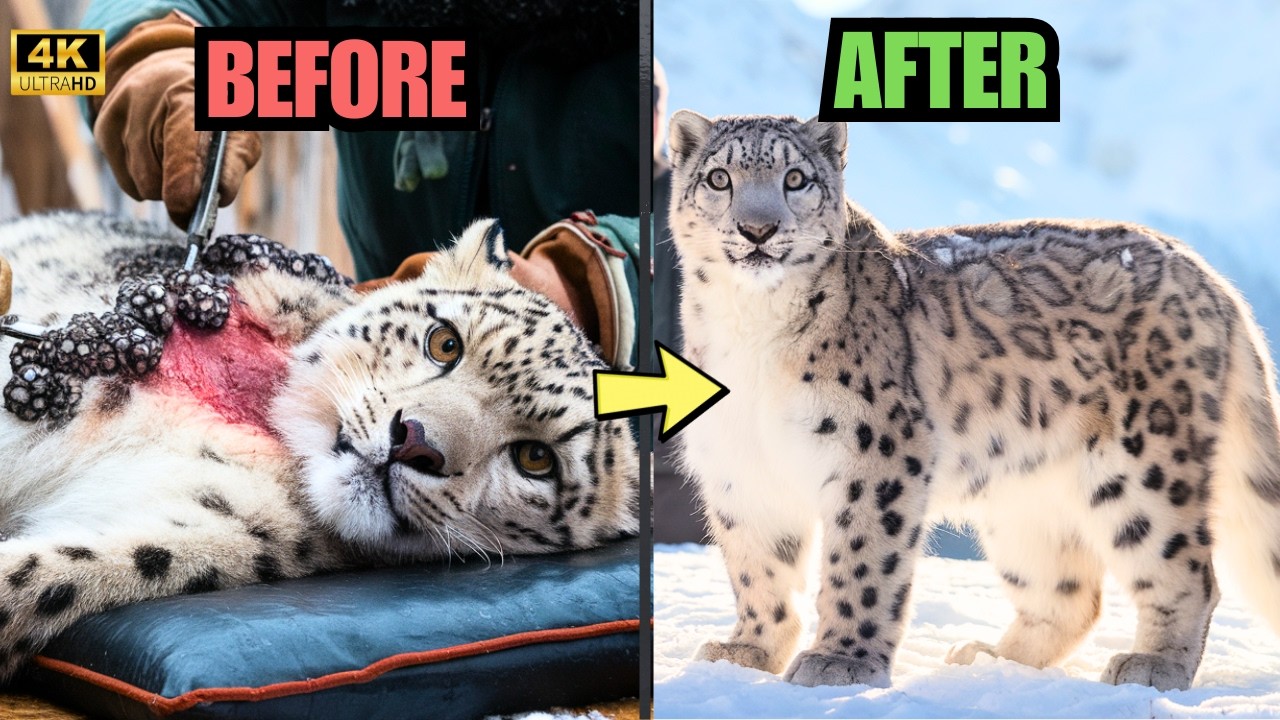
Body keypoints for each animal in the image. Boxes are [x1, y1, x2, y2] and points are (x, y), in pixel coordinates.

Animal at [666, 110, 1280, 692]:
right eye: (720, 178)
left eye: (795, 178)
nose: (758, 228)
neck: (750, 328)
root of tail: (1207, 274)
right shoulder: (740, 468)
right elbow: (758, 567)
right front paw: (747, 651)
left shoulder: (874, 449)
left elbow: (861, 559)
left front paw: (842, 660)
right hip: (1024, 499)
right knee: (1068, 592)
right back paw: (991, 658)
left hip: (1144, 463)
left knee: (1185, 569)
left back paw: (1153, 663)